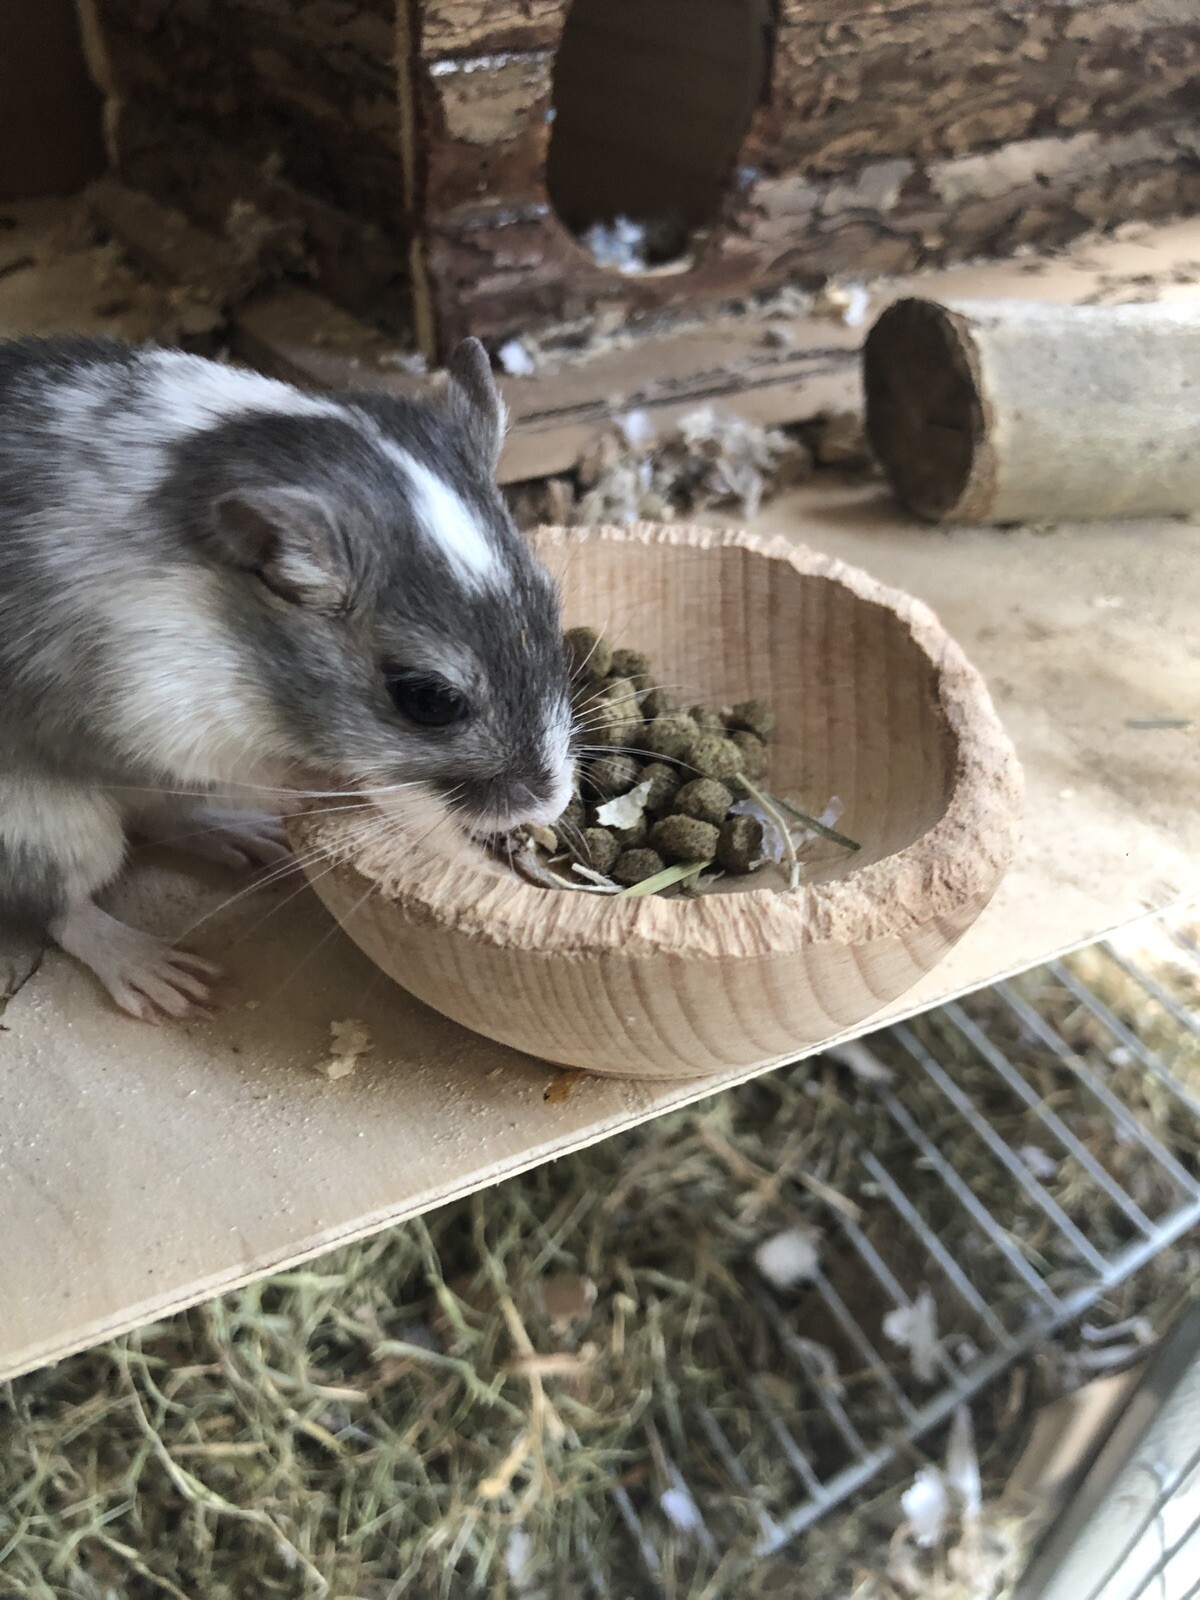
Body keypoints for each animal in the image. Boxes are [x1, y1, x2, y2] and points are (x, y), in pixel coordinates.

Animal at [0, 334, 575, 1019]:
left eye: (552, 611)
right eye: (430, 700)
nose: (552, 805)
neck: (244, 651)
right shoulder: (150, 707)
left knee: (163, 815)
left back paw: (249, 840)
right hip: (44, 826)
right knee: (62, 908)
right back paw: (162, 977)